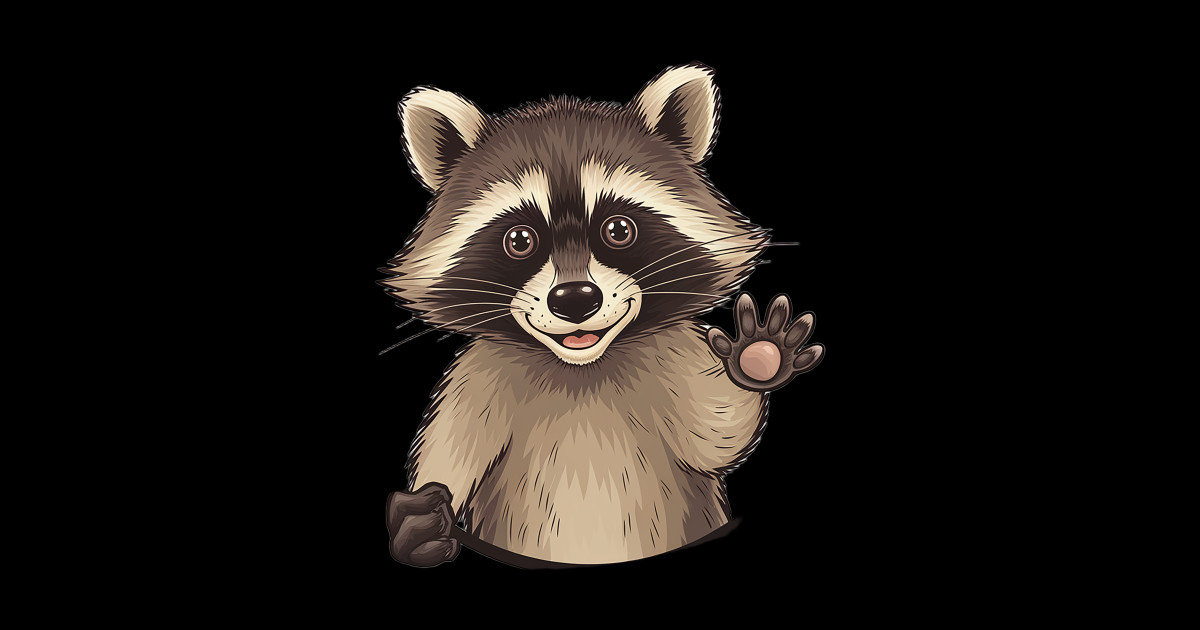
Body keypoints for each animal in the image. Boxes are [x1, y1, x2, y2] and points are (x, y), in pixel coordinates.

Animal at [382, 64, 824, 567]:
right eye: (520, 240)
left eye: (618, 230)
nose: (574, 299)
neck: (582, 368)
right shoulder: (475, 381)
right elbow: (448, 453)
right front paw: (416, 521)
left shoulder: (675, 356)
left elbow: (717, 433)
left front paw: (756, 361)